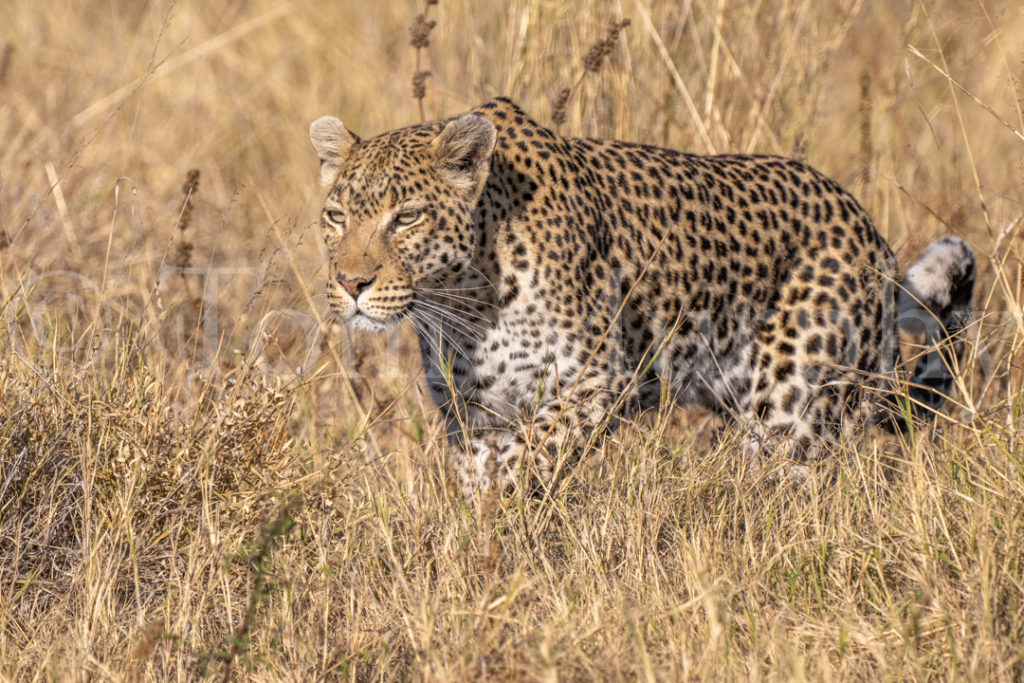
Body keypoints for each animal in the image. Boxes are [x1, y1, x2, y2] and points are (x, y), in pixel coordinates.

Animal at [309, 97, 975, 497]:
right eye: (337, 216)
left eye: (407, 217)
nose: (351, 284)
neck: (464, 300)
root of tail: (873, 237)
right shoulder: (473, 412)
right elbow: (486, 474)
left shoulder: (593, 381)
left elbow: (528, 458)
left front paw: (502, 519)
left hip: (794, 411)